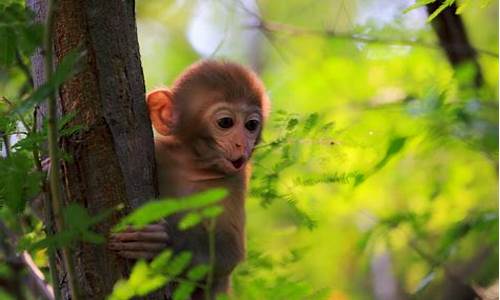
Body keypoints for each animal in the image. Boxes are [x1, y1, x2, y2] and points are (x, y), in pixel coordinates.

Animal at [108, 59, 270, 298]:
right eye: (226, 122)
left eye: (251, 125)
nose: (243, 144)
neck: (192, 165)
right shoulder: (162, 151)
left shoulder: (234, 181)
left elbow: (230, 251)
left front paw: (164, 242)